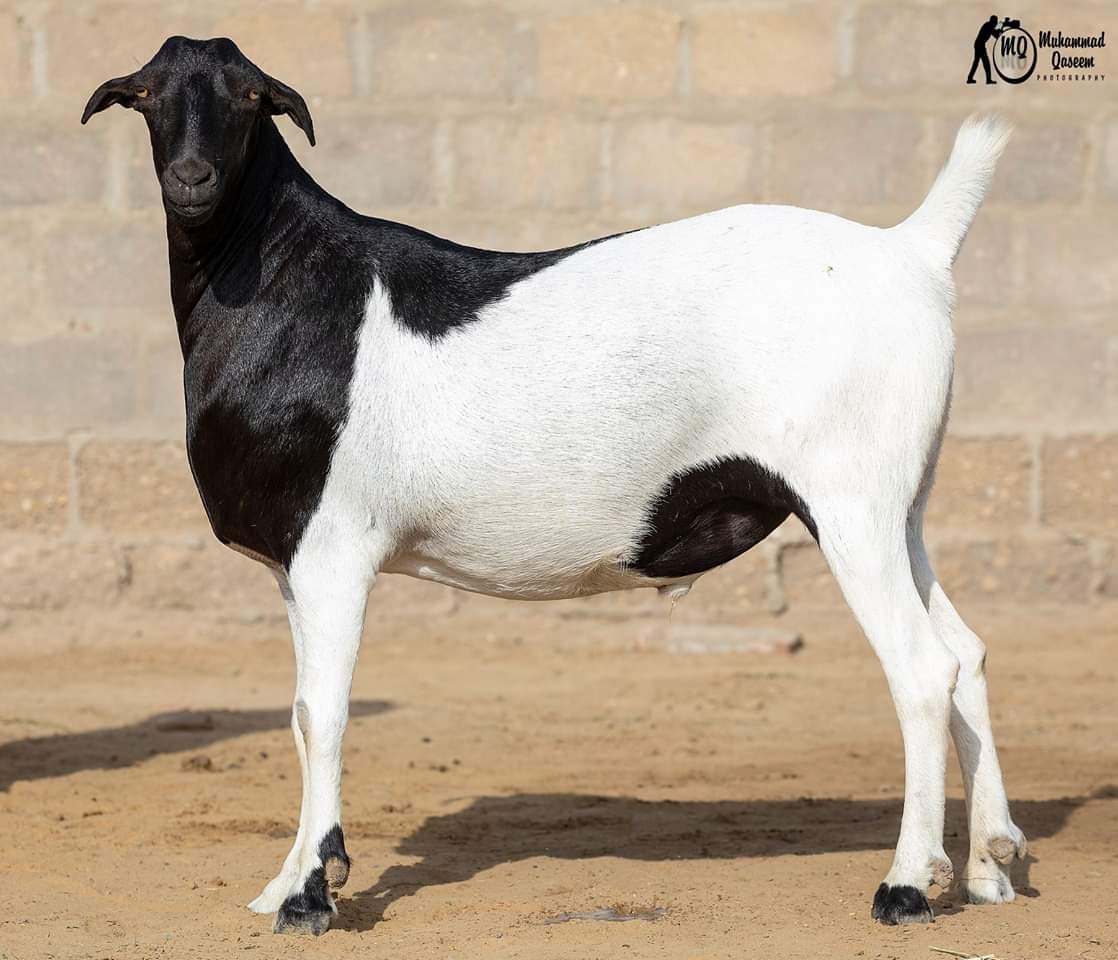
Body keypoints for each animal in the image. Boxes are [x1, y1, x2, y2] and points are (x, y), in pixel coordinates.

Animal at [82, 36, 1025, 935]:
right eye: (150, 95)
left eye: (249, 96)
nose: (192, 179)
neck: (285, 280)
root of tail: (912, 249)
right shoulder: (291, 562)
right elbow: (299, 718)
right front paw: (283, 881)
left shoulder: (334, 549)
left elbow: (325, 712)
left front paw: (312, 893)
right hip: (900, 508)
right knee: (968, 650)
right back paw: (989, 866)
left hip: (851, 503)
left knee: (922, 668)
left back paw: (907, 885)